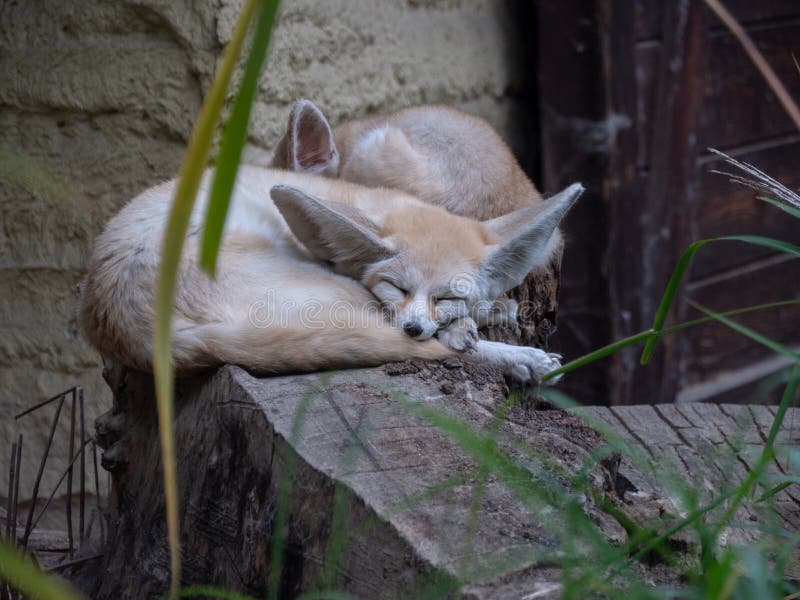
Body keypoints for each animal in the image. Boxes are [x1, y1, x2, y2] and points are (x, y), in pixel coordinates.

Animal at [80, 166, 582, 382]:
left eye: (447, 295)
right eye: (396, 287)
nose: (413, 326)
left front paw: (492, 308)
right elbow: (446, 340)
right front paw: (478, 332)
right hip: (344, 300)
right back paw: (520, 358)